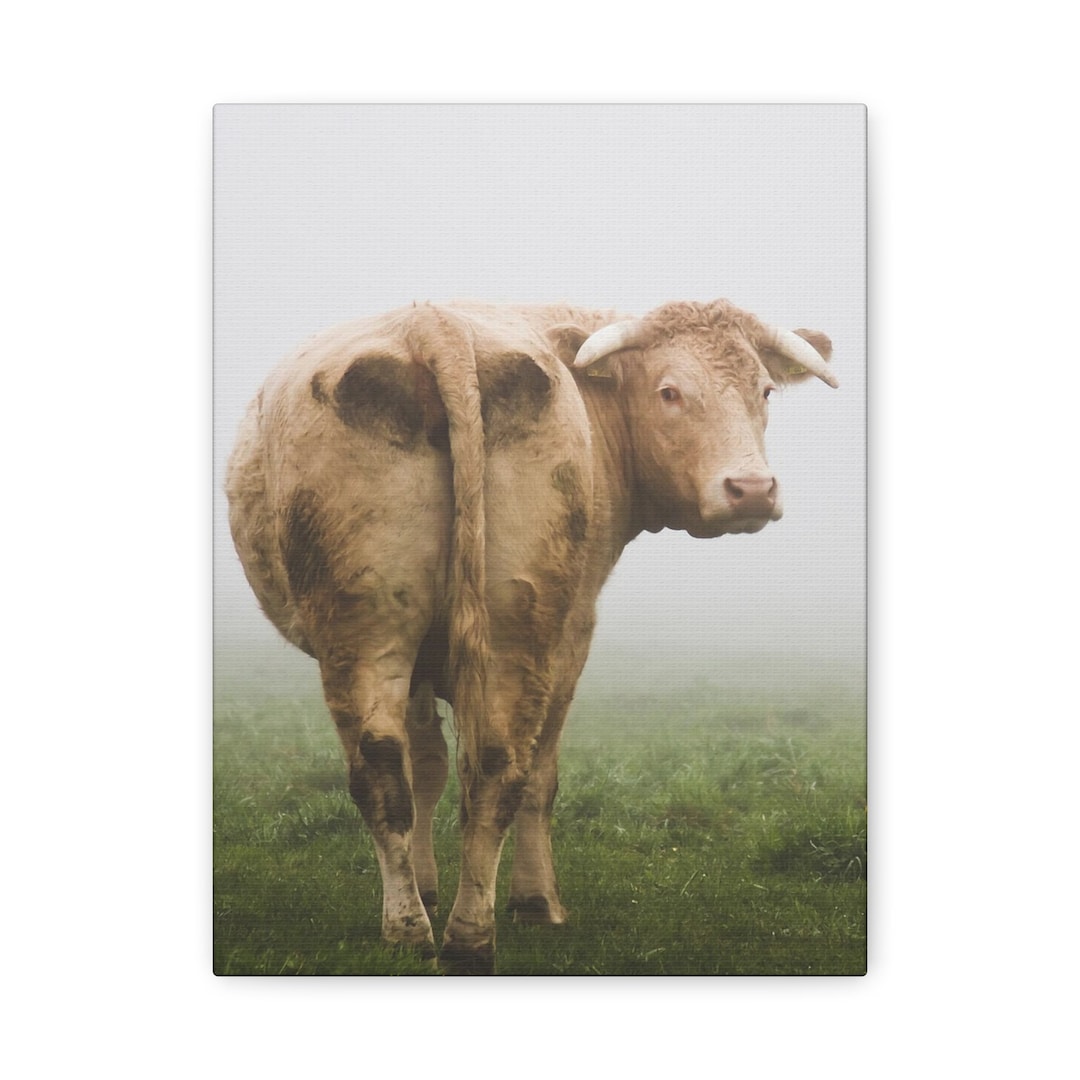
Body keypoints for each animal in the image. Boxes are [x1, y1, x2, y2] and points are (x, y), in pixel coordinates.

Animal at [225, 298, 837, 974]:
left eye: (765, 390)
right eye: (670, 391)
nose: (751, 490)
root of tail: (432, 325)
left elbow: (442, 768)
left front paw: (459, 890)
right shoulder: (571, 629)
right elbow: (482, 770)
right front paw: (520, 898)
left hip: (389, 624)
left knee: (420, 767)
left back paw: (436, 931)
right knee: (475, 768)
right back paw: (444, 930)